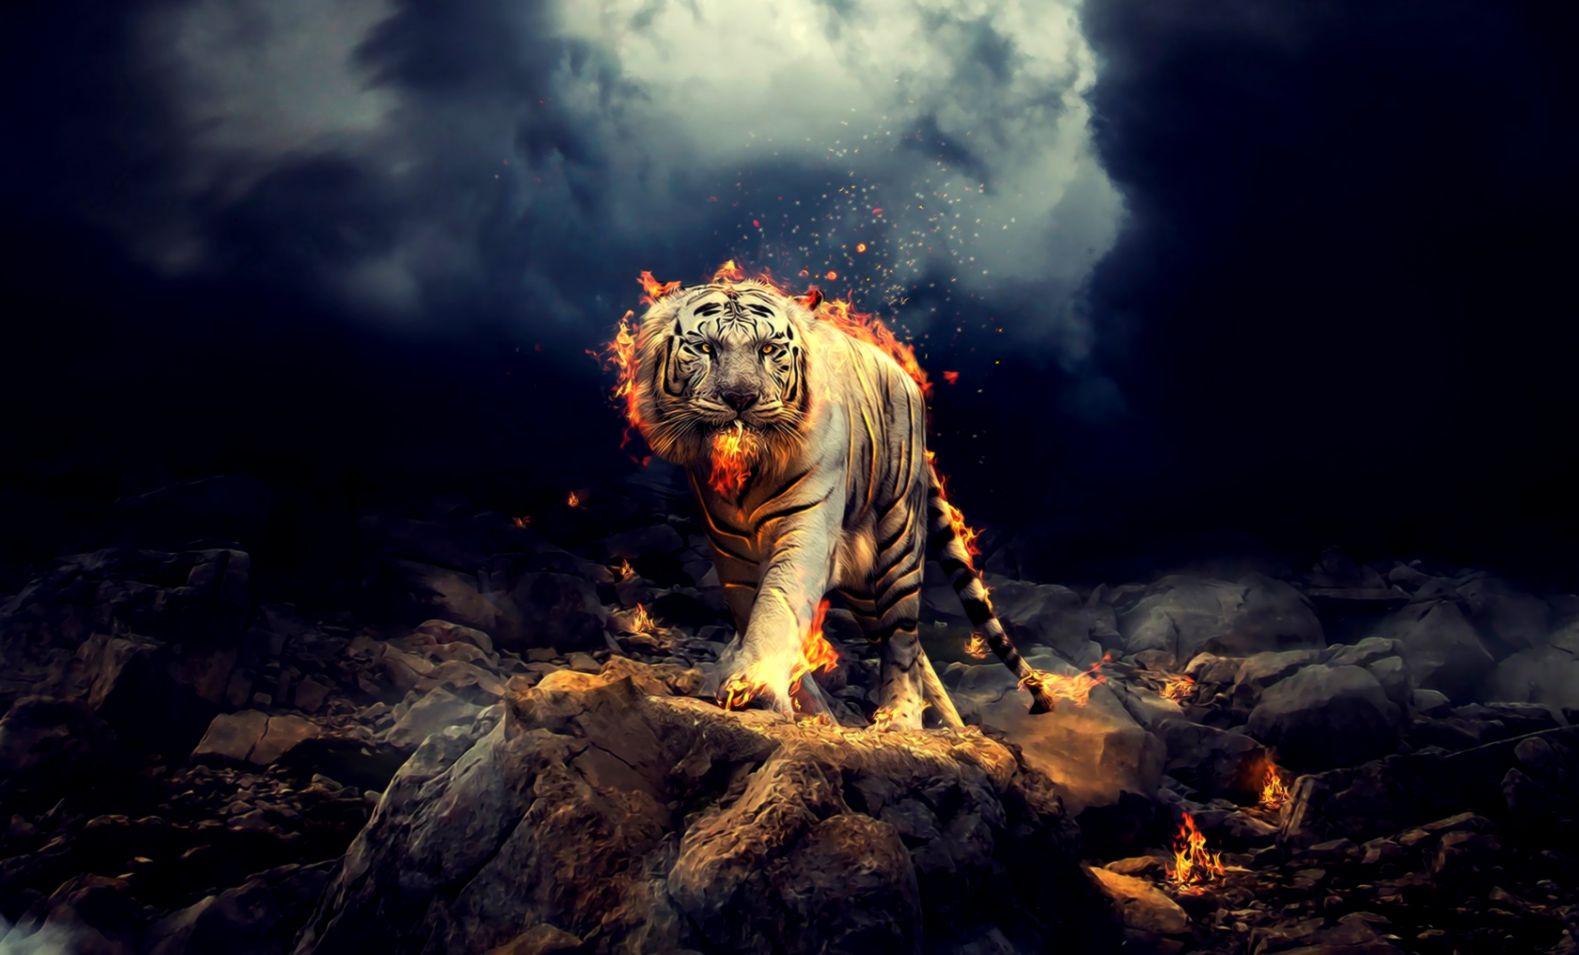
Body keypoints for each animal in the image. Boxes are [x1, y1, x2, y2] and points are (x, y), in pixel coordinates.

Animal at [625, 271, 1061, 729]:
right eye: (706, 348)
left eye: (768, 349)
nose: (740, 398)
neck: (748, 472)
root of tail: (904, 377)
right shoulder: (731, 551)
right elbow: (754, 613)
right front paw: (801, 706)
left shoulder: (807, 530)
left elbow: (779, 604)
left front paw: (755, 685)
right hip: (865, 588)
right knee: (913, 649)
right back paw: (948, 725)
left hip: (897, 546)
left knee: (902, 639)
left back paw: (901, 719)